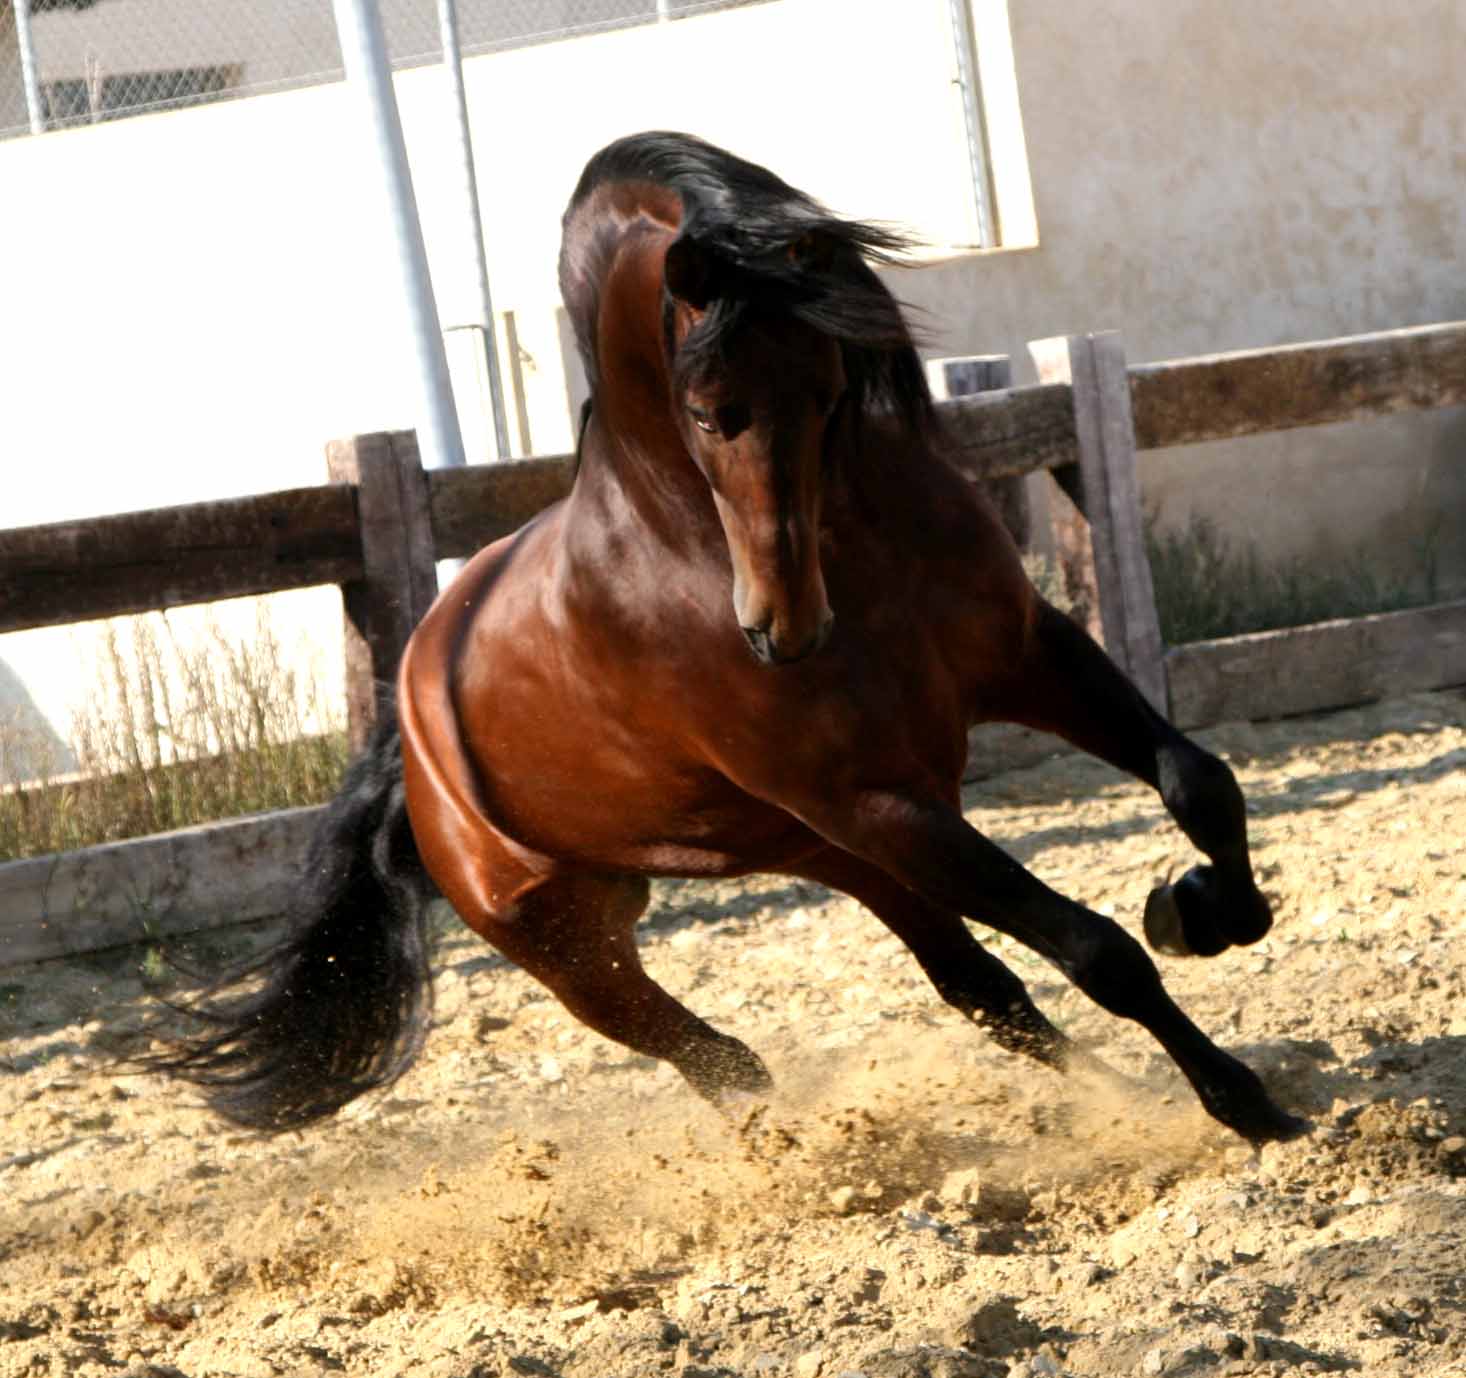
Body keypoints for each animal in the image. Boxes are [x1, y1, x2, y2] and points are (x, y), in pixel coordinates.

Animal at [153, 131, 1308, 1148]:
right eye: (708, 411)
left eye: (832, 386)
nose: (780, 629)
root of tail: (411, 737)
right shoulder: (875, 797)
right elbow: (1096, 949)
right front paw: (1244, 1101)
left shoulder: (1030, 660)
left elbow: (1199, 784)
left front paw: (1200, 910)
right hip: (583, 947)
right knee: (728, 1061)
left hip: (835, 855)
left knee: (982, 994)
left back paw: (1114, 1097)